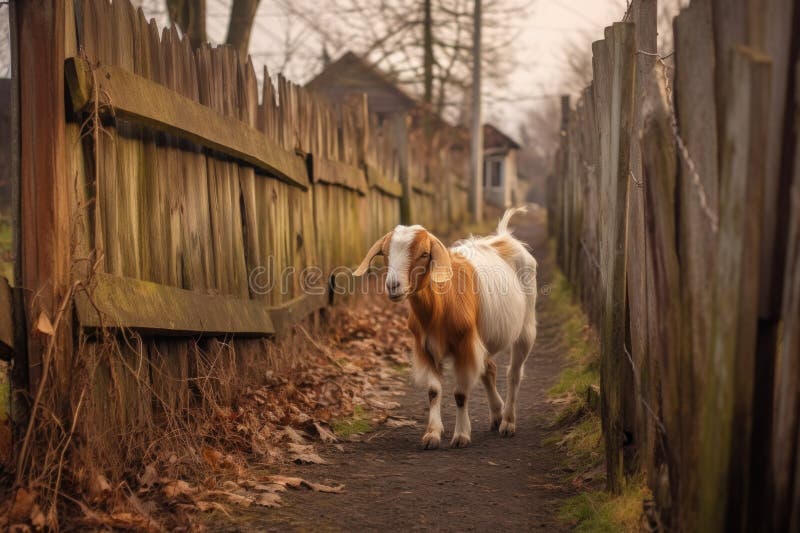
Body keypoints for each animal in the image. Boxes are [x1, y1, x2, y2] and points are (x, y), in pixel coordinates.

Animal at [353, 207, 537, 449]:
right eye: (384, 252)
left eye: (424, 253)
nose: (393, 285)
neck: (441, 305)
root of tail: (504, 238)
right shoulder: (426, 348)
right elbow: (433, 391)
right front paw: (432, 434)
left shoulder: (464, 346)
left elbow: (460, 394)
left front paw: (461, 436)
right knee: (489, 368)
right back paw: (497, 415)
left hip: (526, 328)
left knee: (514, 373)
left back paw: (508, 423)